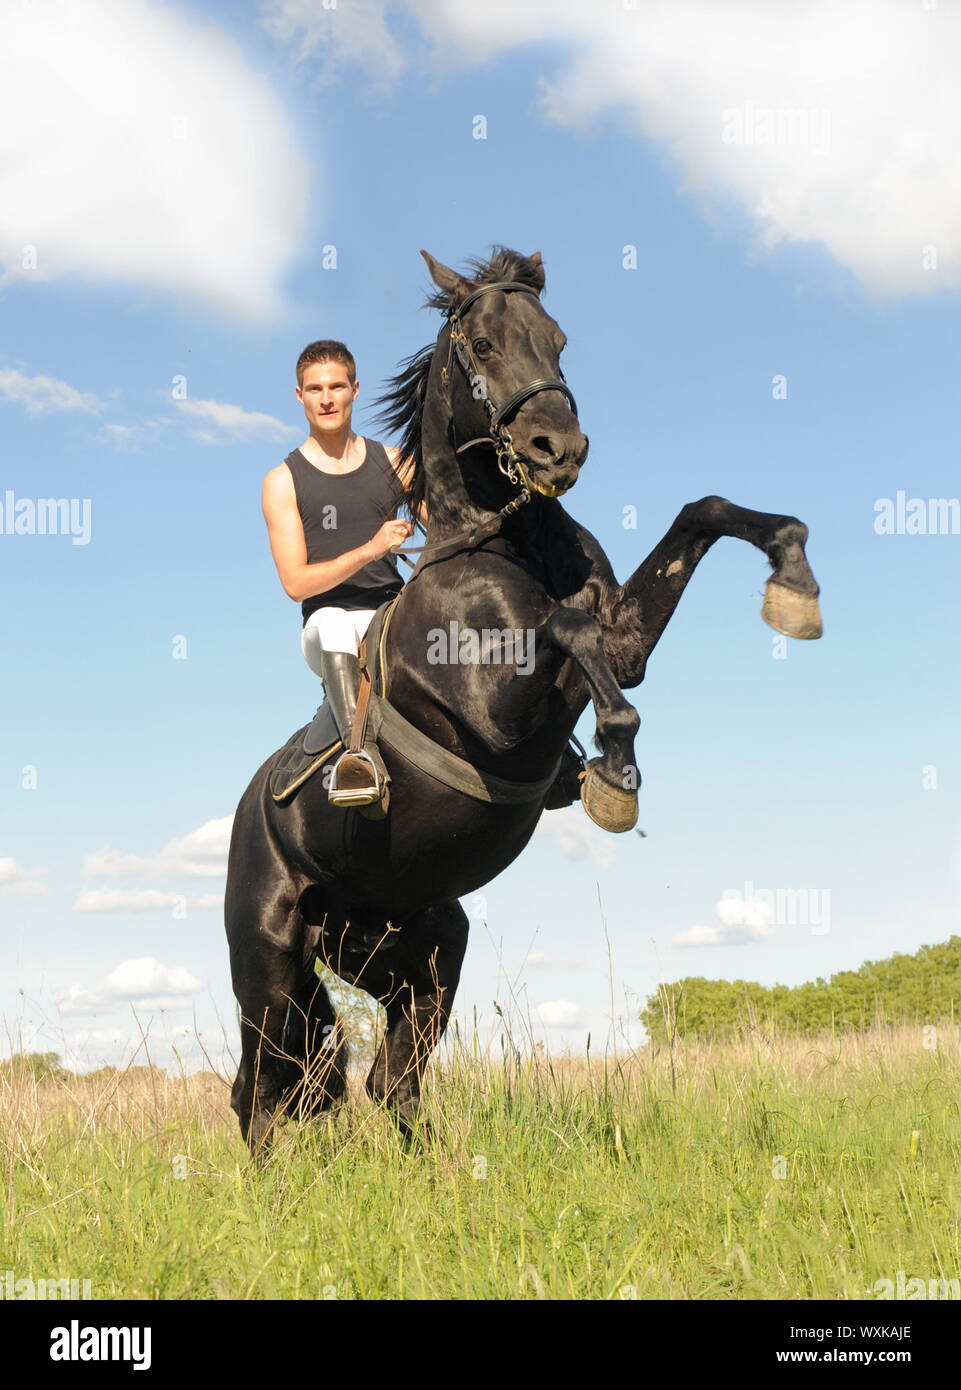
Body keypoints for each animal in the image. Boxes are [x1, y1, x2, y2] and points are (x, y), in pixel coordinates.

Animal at [224, 246, 822, 1155]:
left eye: (558, 338)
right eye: (479, 343)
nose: (558, 450)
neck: (498, 535)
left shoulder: (623, 644)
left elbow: (700, 516)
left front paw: (793, 583)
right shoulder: (494, 705)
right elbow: (569, 632)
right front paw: (615, 772)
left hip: (420, 949)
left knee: (384, 1083)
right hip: (270, 959)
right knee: (262, 1095)